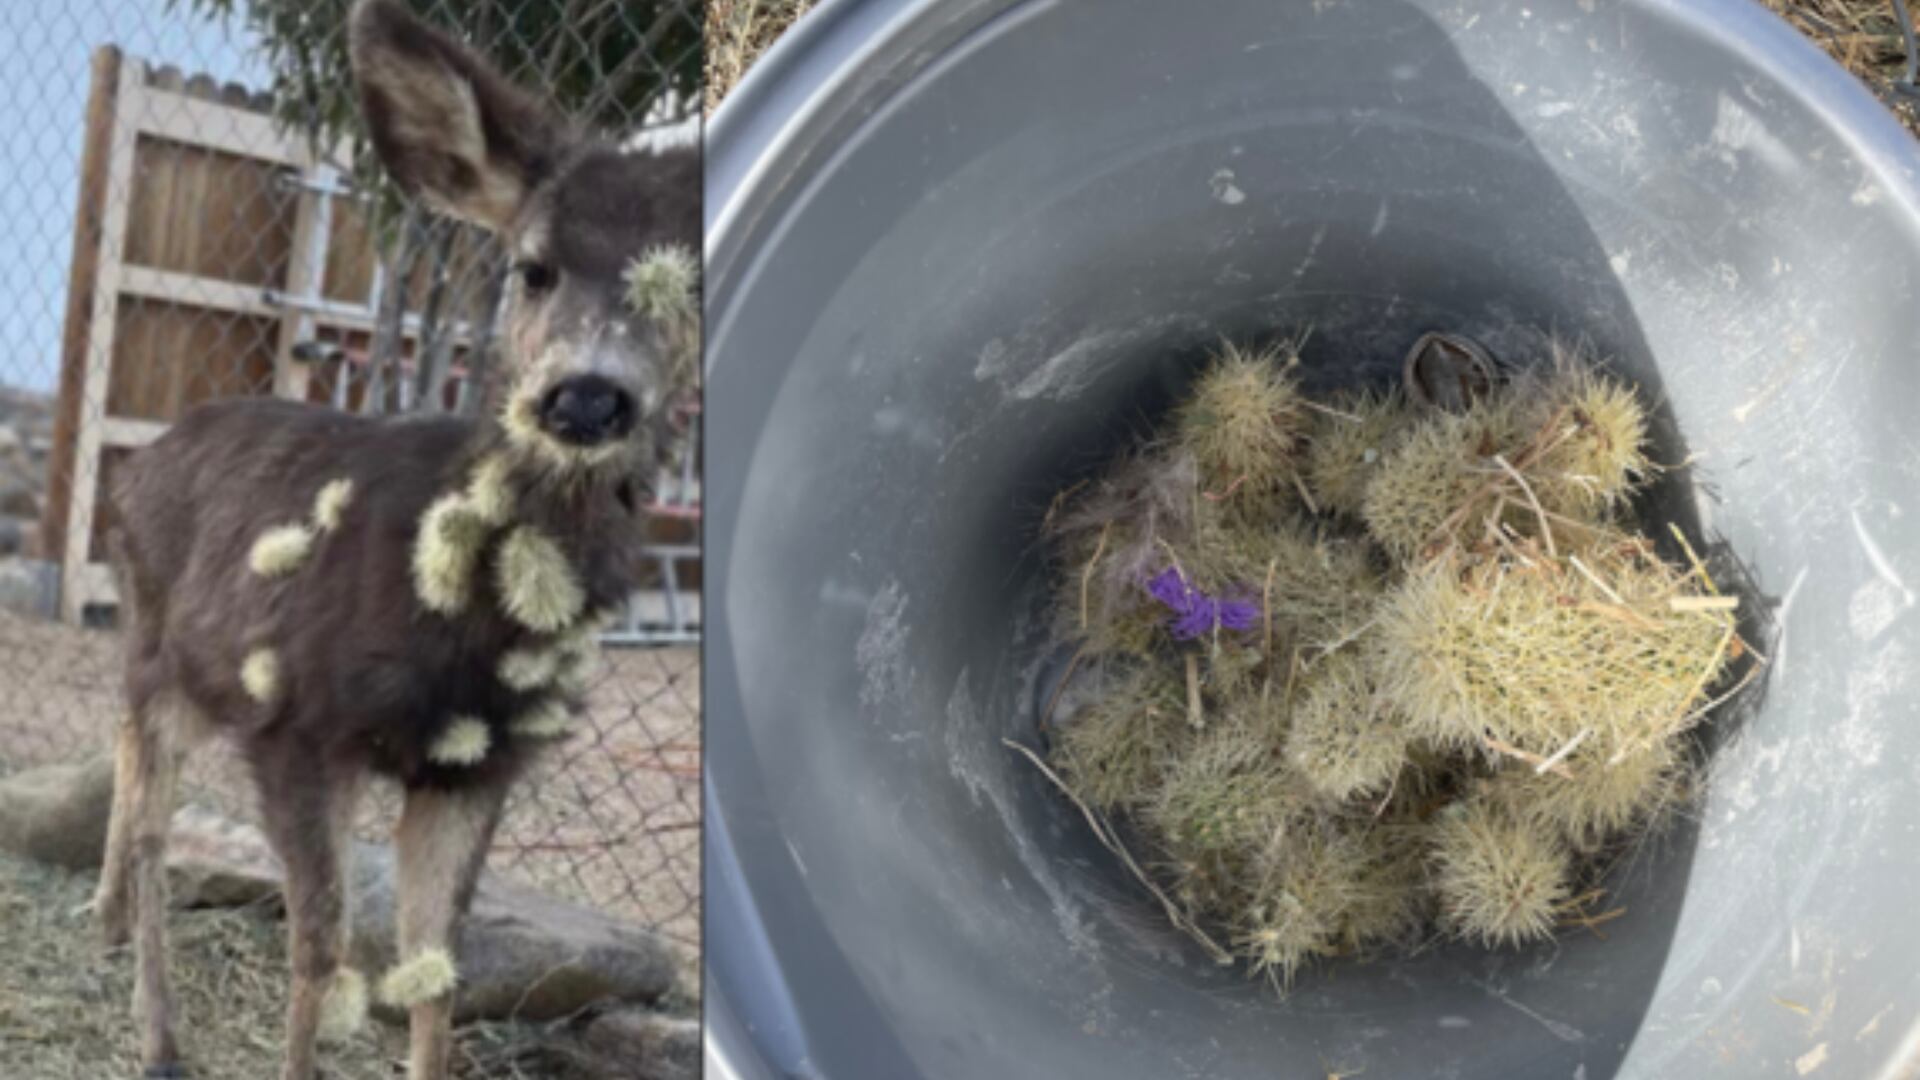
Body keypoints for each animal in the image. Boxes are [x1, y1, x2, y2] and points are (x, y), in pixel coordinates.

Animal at [88, 2, 697, 1077]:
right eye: (533, 267)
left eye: (684, 285)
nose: (586, 398)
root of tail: (137, 460)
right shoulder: (298, 724)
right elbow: (318, 948)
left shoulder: (474, 766)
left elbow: (435, 969)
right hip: (160, 642)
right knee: (154, 813)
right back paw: (156, 1026)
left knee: (126, 762)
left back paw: (111, 926)